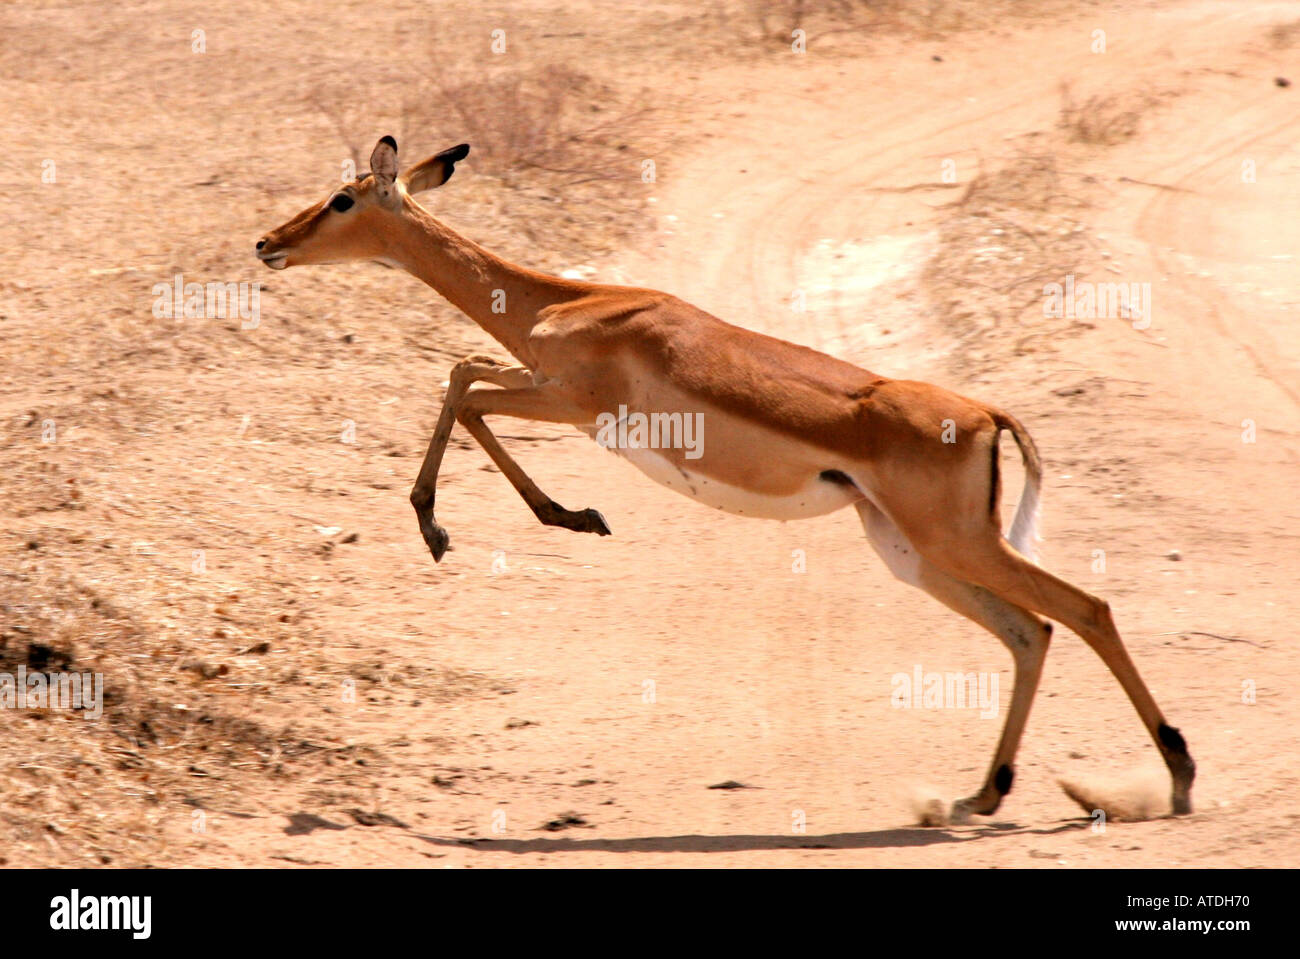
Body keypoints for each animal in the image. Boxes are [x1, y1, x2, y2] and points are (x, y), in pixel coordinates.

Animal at [256, 136, 1195, 824]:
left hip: (954, 541)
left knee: (1085, 608)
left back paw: (1177, 777)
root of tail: (987, 412)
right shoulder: (547, 389)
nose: (267, 243)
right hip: (911, 553)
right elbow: (462, 374)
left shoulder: (570, 403)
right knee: (1030, 631)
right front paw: (552, 517)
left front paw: (484, 522)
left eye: (343, 199)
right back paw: (981, 794)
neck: (563, 305)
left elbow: (463, 386)